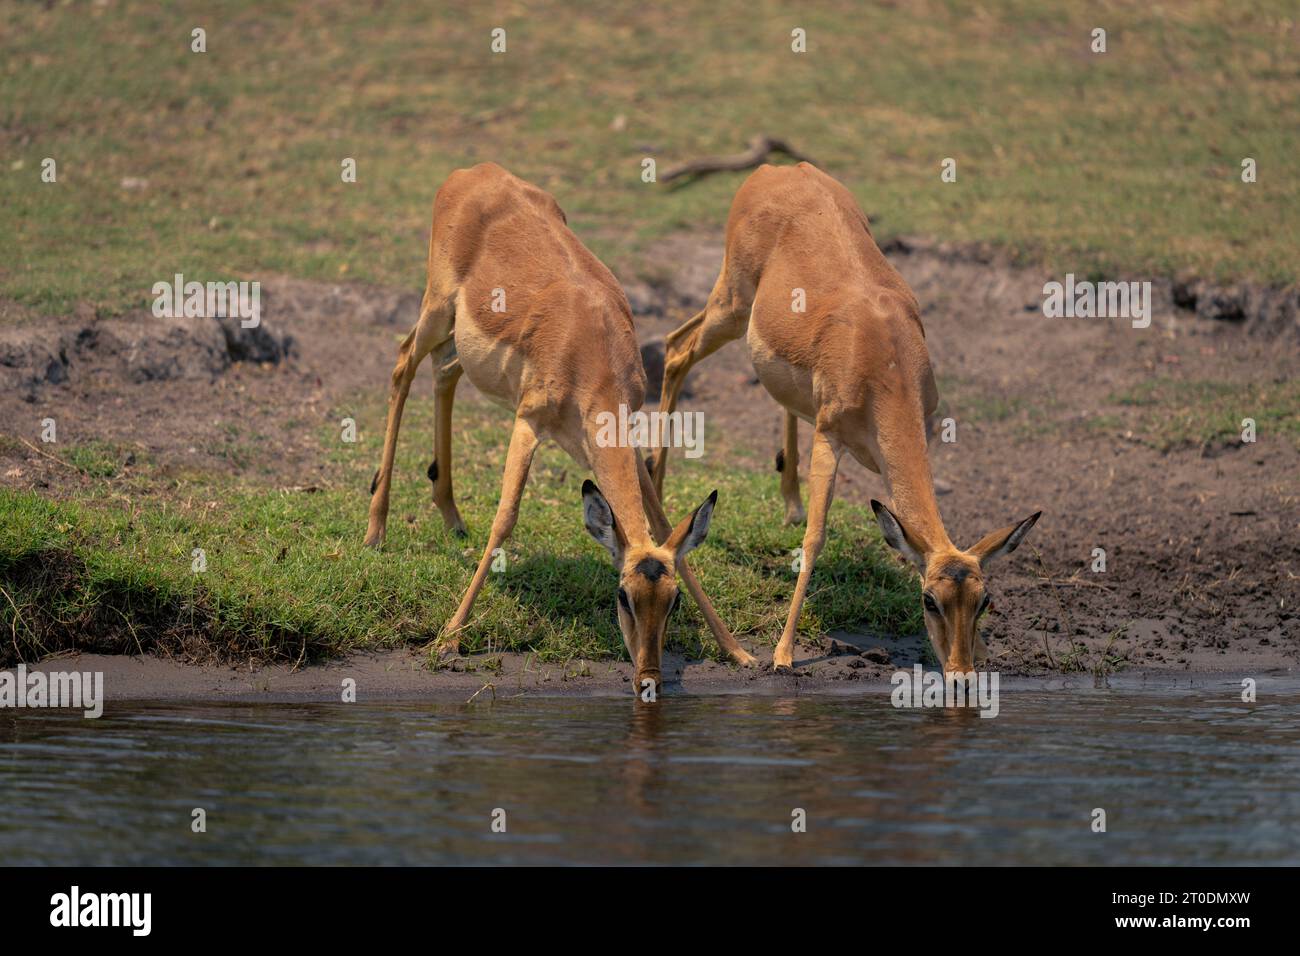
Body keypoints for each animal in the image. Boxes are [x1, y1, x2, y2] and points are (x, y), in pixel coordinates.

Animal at [363, 162, 757, 693]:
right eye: (622, 595)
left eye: (672, 601)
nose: (648, 677)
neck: (590, 350)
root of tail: (473, 172)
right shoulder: (528, 421)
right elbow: (505, 518)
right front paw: (448, 638)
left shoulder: (624, 436)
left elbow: (663, 522)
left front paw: (739, 651)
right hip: (437, 307)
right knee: (403, 364)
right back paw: (375, 531)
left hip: (455, 340)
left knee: (444, 372)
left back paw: (451, 516)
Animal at [650, 162, 1041, 678]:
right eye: (929, 600)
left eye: (984, 600)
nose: (959, 671)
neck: (883, 357)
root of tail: (774, 169)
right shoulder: (829, 437)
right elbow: (816, 538)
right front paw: (782, 655)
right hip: (731, 305)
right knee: (676, 347)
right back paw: (656, 491)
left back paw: (789, 501)